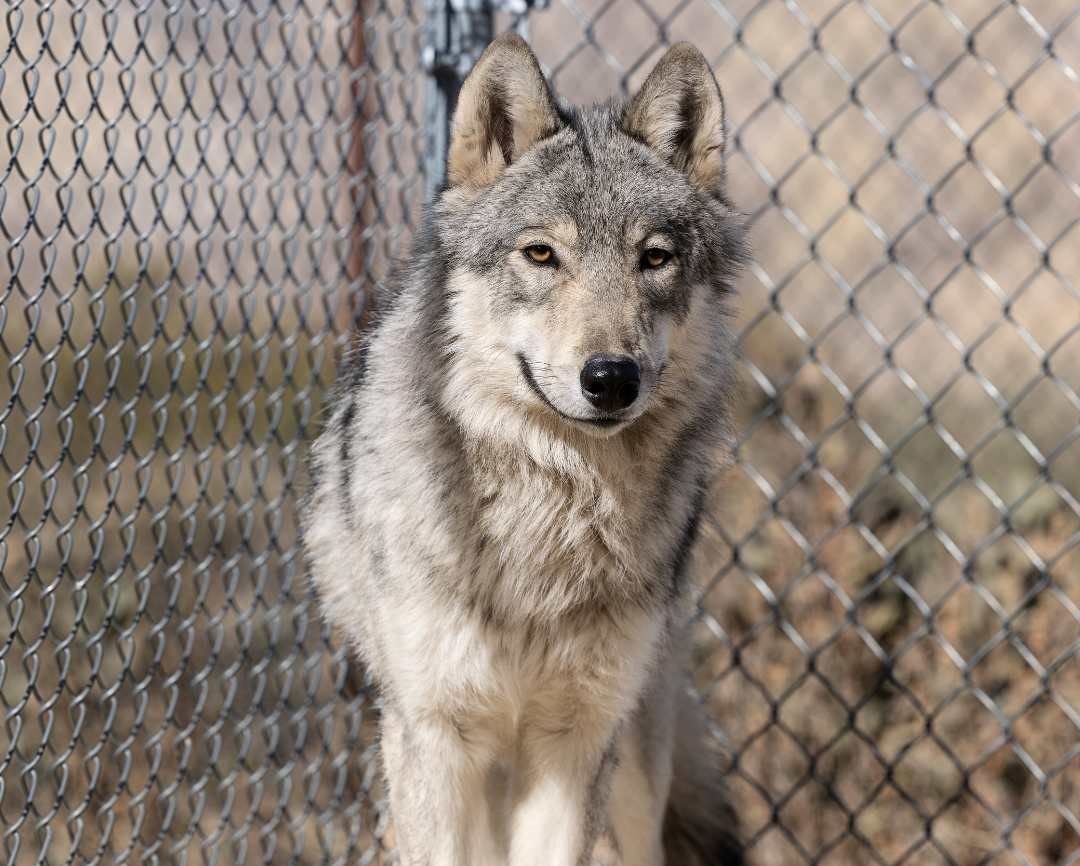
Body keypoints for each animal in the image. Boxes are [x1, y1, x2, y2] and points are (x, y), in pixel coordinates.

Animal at [303, 33, 747, 866]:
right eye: (541, 255)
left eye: (655, 259)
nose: (611, 378)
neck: (550, 520)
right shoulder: (435, 738)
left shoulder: (577, 743)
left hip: (634, 768)